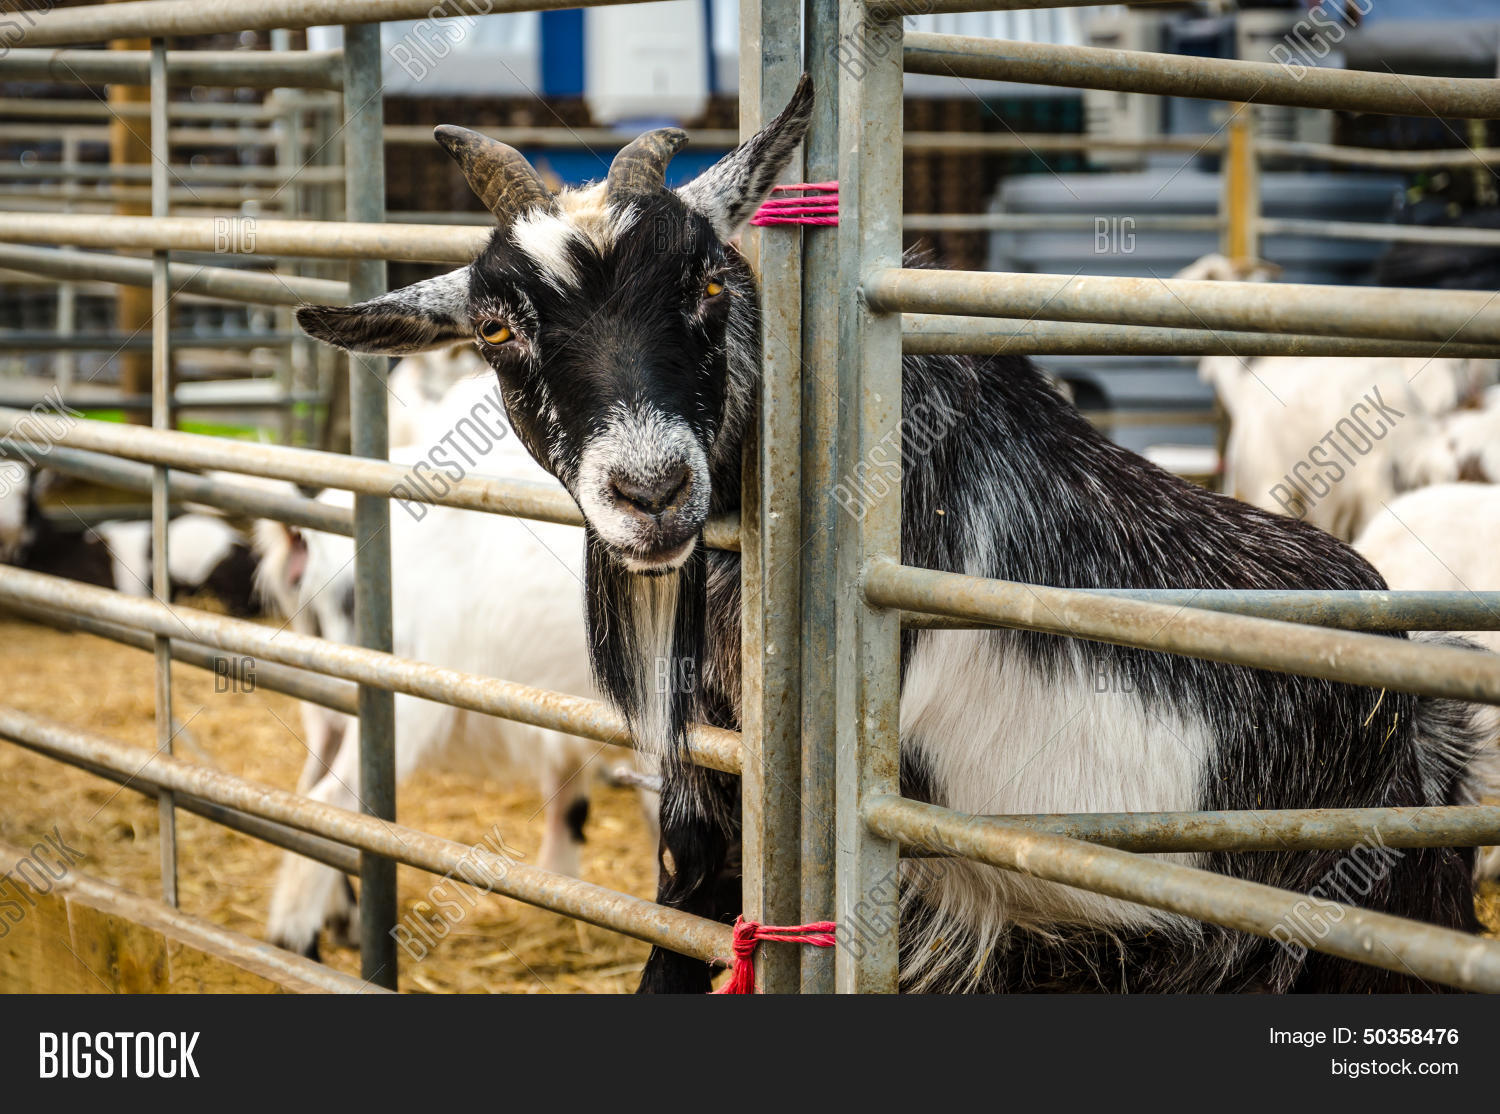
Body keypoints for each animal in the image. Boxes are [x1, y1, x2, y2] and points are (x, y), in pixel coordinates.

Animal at [251, 376, 646, 958]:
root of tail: (309, 539)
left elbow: (571, 800)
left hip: (326, 696)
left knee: (307, 792)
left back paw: (344, 924)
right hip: (396, 700)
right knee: (327, 802)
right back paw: (295, 944)